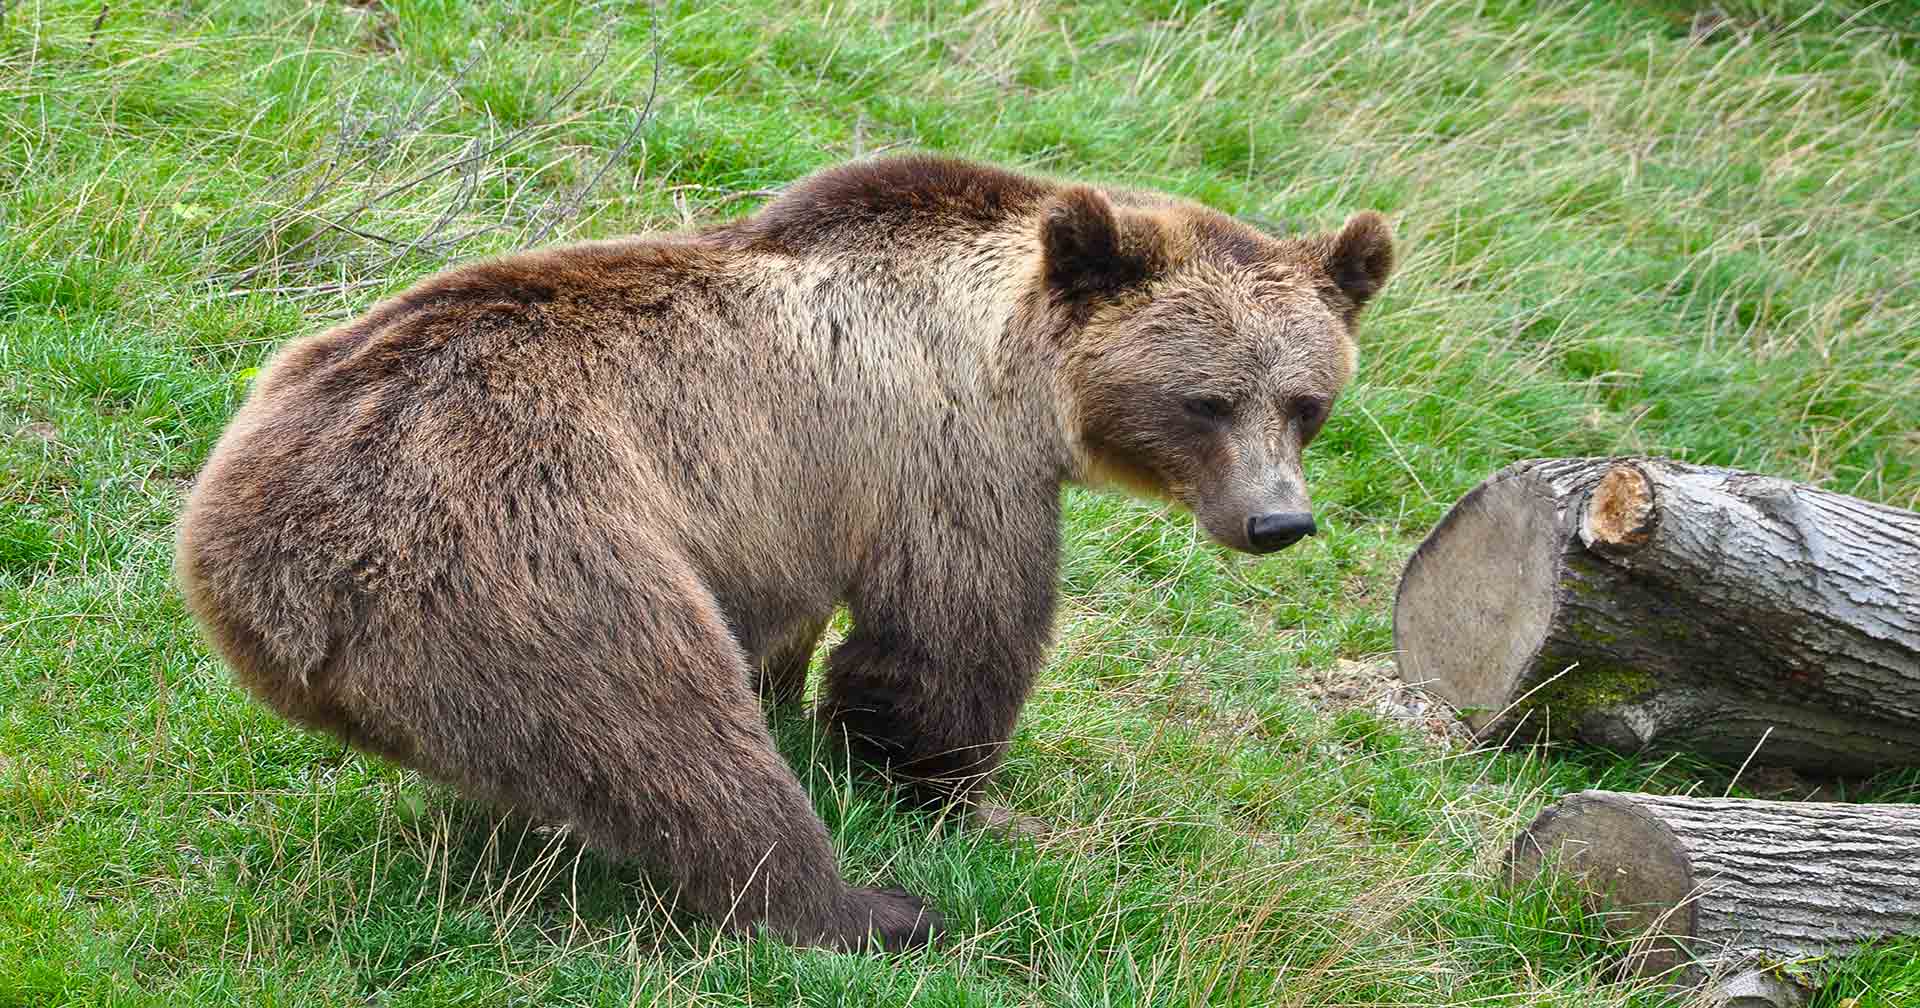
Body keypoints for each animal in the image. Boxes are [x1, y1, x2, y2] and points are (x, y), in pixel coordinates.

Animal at [173, 154, 1394, 952]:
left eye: (1308, 403)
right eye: (1206, 400)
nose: (1277, 522)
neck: (1014, 353)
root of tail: (253, 560)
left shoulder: (790, 515)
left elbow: (797, 631)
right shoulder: (946, 458)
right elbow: (946, 645)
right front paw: (956, 798)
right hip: (524, 545)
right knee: (665, 728)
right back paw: (865, 909)